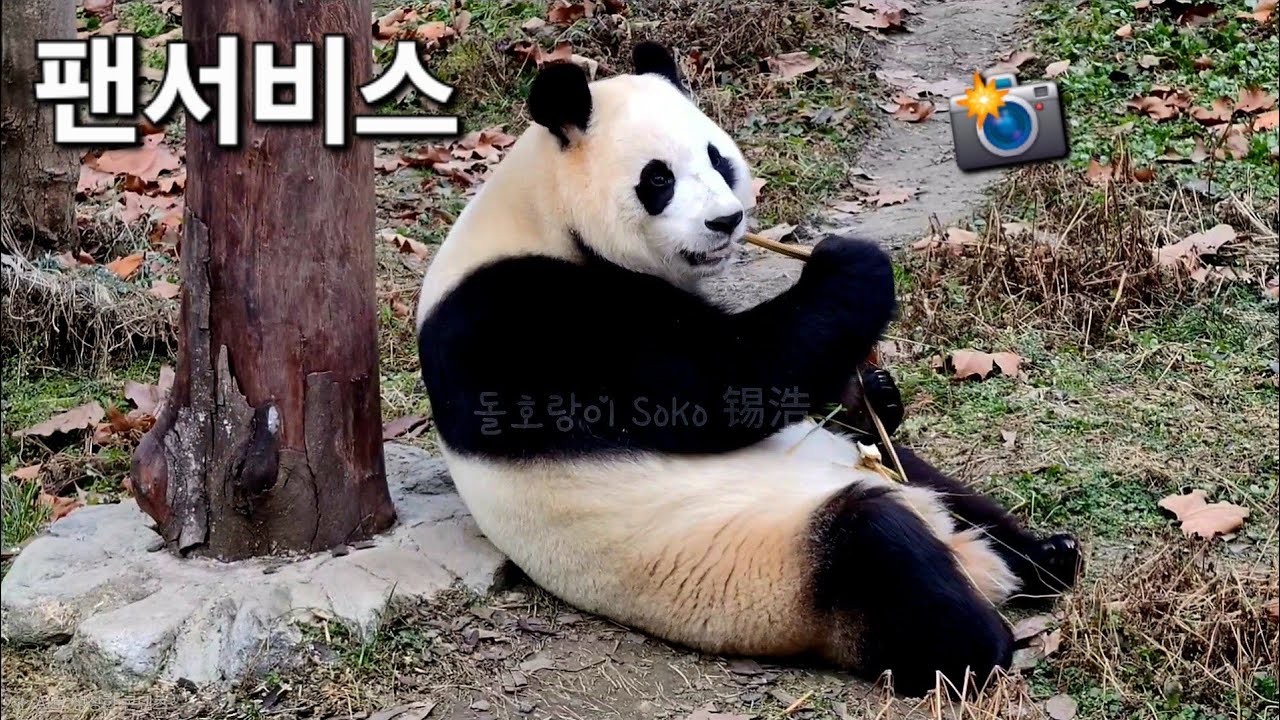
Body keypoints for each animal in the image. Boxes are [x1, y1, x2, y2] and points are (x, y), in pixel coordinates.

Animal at [415, 42, 1082, 696]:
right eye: (657, 178)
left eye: (717, 158)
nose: (726, 221)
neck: (539, 212)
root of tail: (967, 558)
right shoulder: (525, 319)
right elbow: (715, 386)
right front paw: (851, 263)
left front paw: (875, 392)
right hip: (779, 571)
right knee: (876, 550)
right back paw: (982, 646)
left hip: (868, 479)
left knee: (938, 487)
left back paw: (1047, 556)